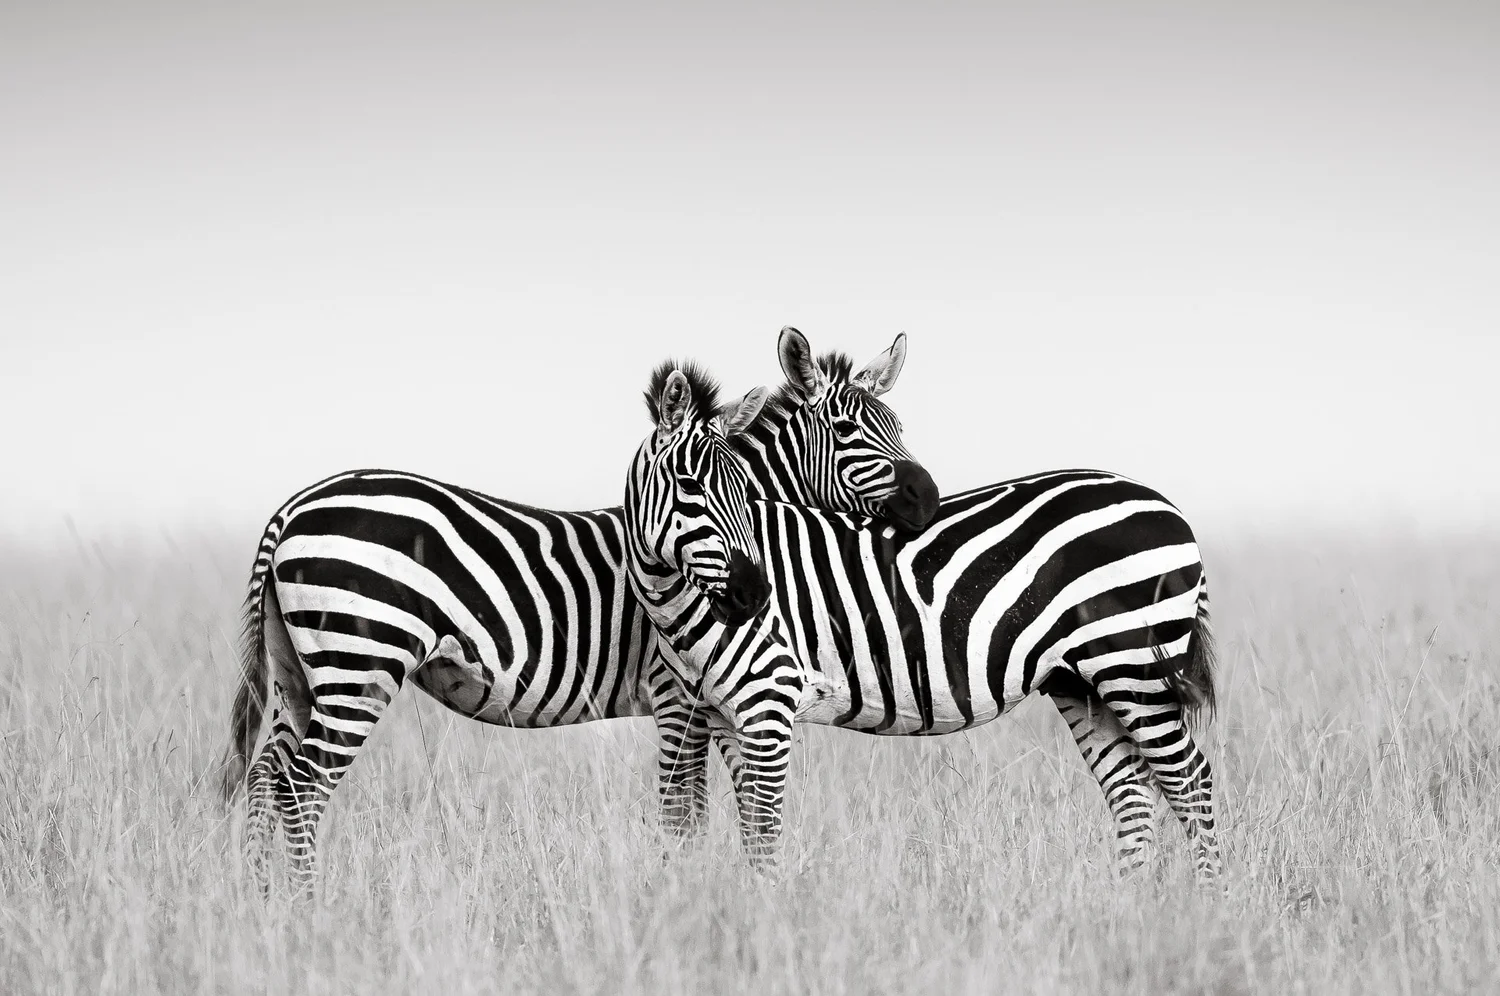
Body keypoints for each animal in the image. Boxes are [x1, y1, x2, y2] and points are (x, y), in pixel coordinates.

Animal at [219, 328, 938, 892]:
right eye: (847, 431)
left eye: (900, 429)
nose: (928, 500)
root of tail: (294, 506)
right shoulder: (679, 694)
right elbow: (691, 808)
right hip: (359, 663)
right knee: (302, 787)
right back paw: (309, 908)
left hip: (300, 671)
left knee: (265, 779)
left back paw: (263, 902)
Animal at [626, 364, 1221, 882]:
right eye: (689, 485)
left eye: (743, 494)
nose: (754, 595)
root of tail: (1166, 504)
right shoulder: (716, 711)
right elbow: (725, 820)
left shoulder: (763, 701)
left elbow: (753, 826)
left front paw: (762, 912)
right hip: (1082, 679)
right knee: (1132, 790)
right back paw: (1124, 906)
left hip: (1134, 664)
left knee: (1191, 780)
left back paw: (1209, 904)